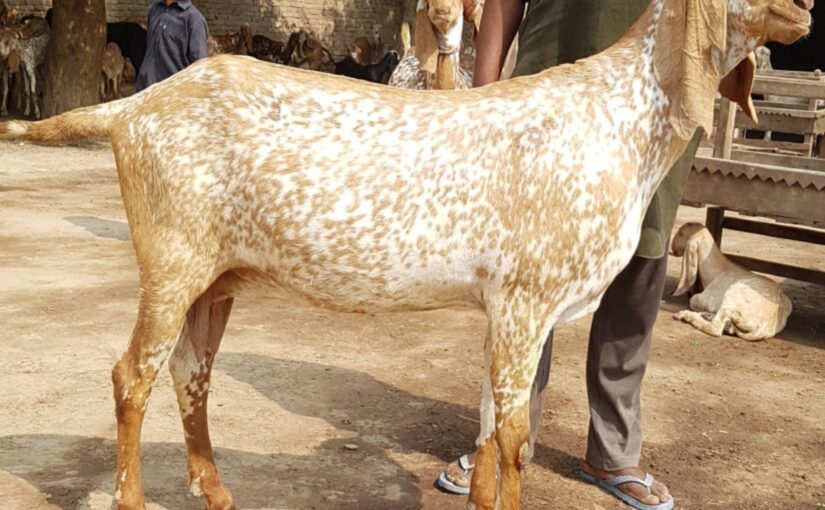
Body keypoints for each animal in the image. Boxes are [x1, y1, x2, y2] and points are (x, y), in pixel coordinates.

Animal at [0, 0, 810, 508]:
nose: (805, 7)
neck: (619, 118)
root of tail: (131, 107)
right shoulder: (527, 299)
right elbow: (514, 440)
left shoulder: (509, 309)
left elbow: (490, 429)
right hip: (171, 262)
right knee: (131, 376)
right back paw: (134, 498)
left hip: (217, 277)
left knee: (188, 373)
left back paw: (218, 491)